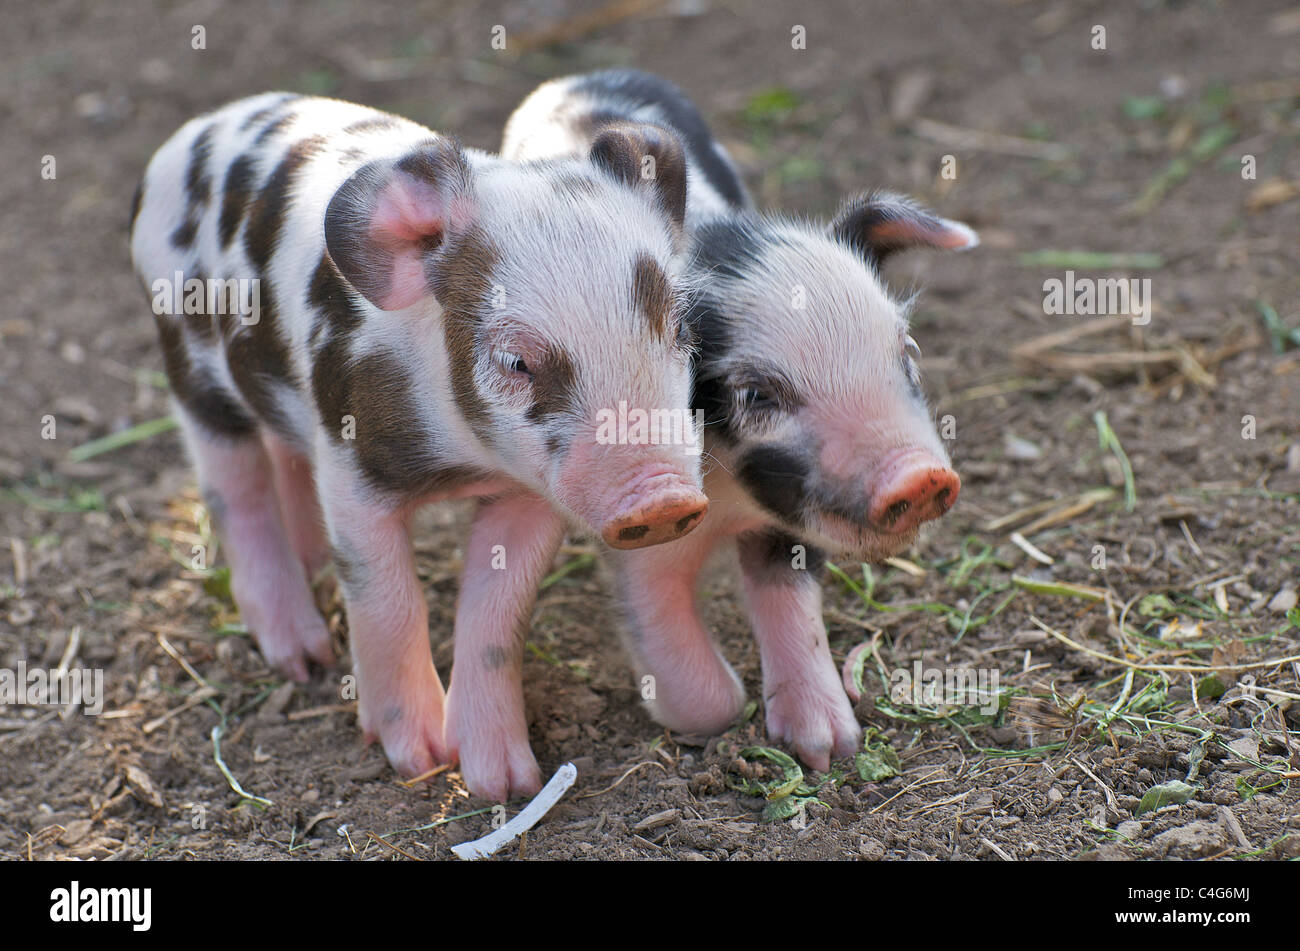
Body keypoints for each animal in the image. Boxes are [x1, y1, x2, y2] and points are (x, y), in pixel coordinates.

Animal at [130, 92, 707, 799]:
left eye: (679, 328)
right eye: (516, 360)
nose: (665, 500)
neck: (464, 461)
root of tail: (187, 136)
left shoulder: (531, 494)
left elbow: (498, 616)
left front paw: (505, 785)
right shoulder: (350, 464)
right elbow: (388, 602)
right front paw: (421, 763)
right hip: (187, 355)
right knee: (234, 488)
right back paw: (302, 658)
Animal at [503, 70, 976, 770]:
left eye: (908, 352)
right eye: (756, 394)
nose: (919, 479)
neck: (728, 498)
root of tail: (575, 79)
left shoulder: (789, 520)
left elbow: (792, 607)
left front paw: (828, 749)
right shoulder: (646, 521)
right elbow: (679, 651)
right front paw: (723, 720)